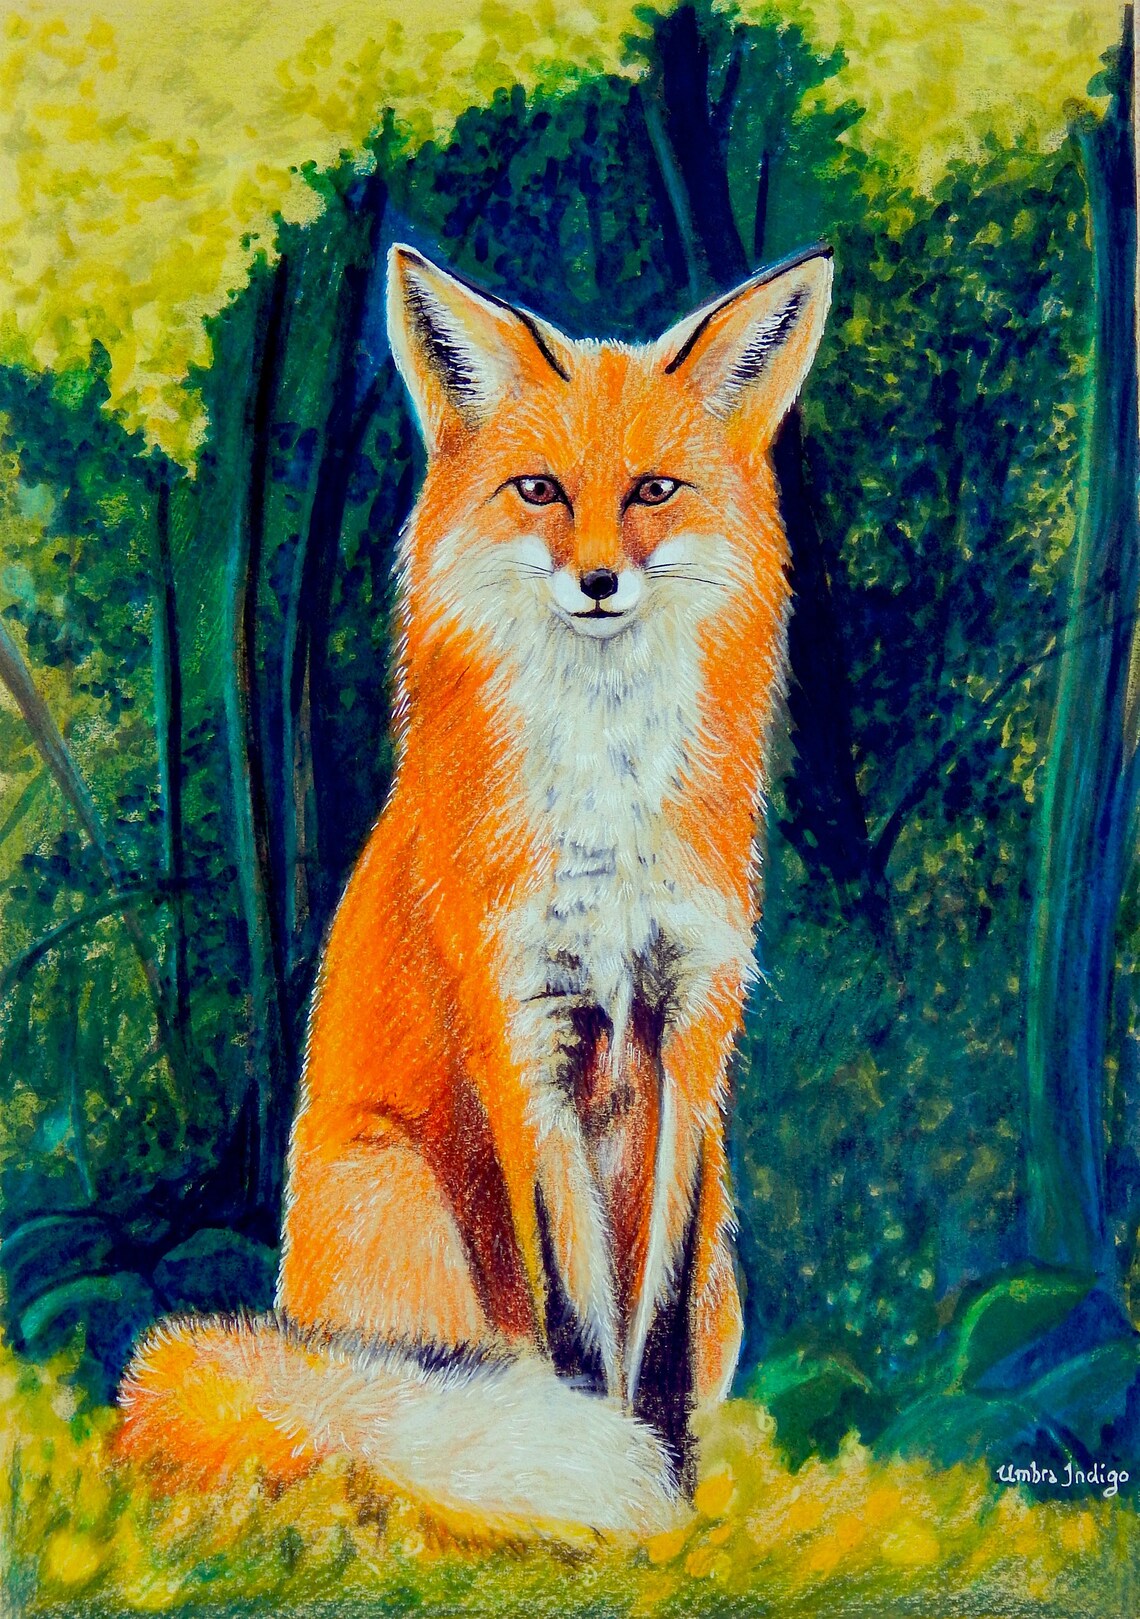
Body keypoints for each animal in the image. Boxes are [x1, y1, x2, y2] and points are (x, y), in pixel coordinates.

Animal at [117, 241, 832, 1536]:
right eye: (540, 490)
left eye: (652, 491)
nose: (598, 580)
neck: (605, 813)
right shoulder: (524, 1031)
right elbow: (572, 1315)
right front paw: (618, 1482)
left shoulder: (690, 1030)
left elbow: (648, 1318)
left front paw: (667, 1491)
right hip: (397, 1197)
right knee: (381, 1426)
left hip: (727, 1262)